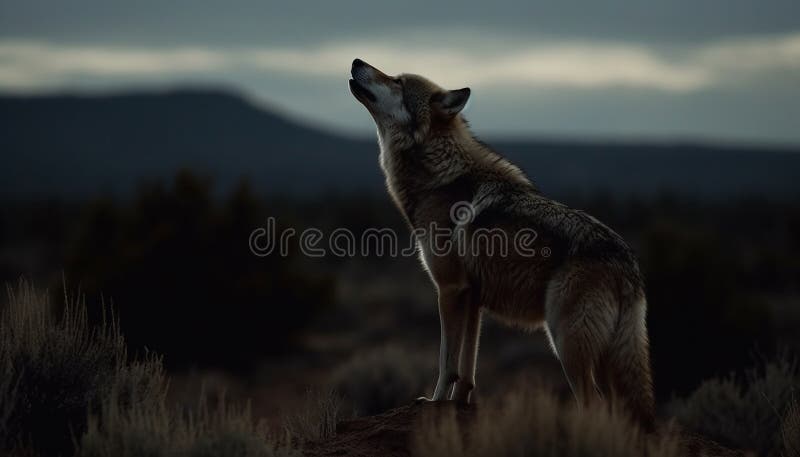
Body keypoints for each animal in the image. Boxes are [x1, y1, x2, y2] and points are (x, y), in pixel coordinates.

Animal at [349, 58, 655, 429]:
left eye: (398, 81)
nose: (356, 61)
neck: (437, 177)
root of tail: (627, 263)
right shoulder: (473, 298)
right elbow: (467, 368)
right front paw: (459, 404)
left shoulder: (449, 290)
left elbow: (446, 362)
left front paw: (434, 403)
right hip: (605, 357)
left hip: (564, 341)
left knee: (592, 403)